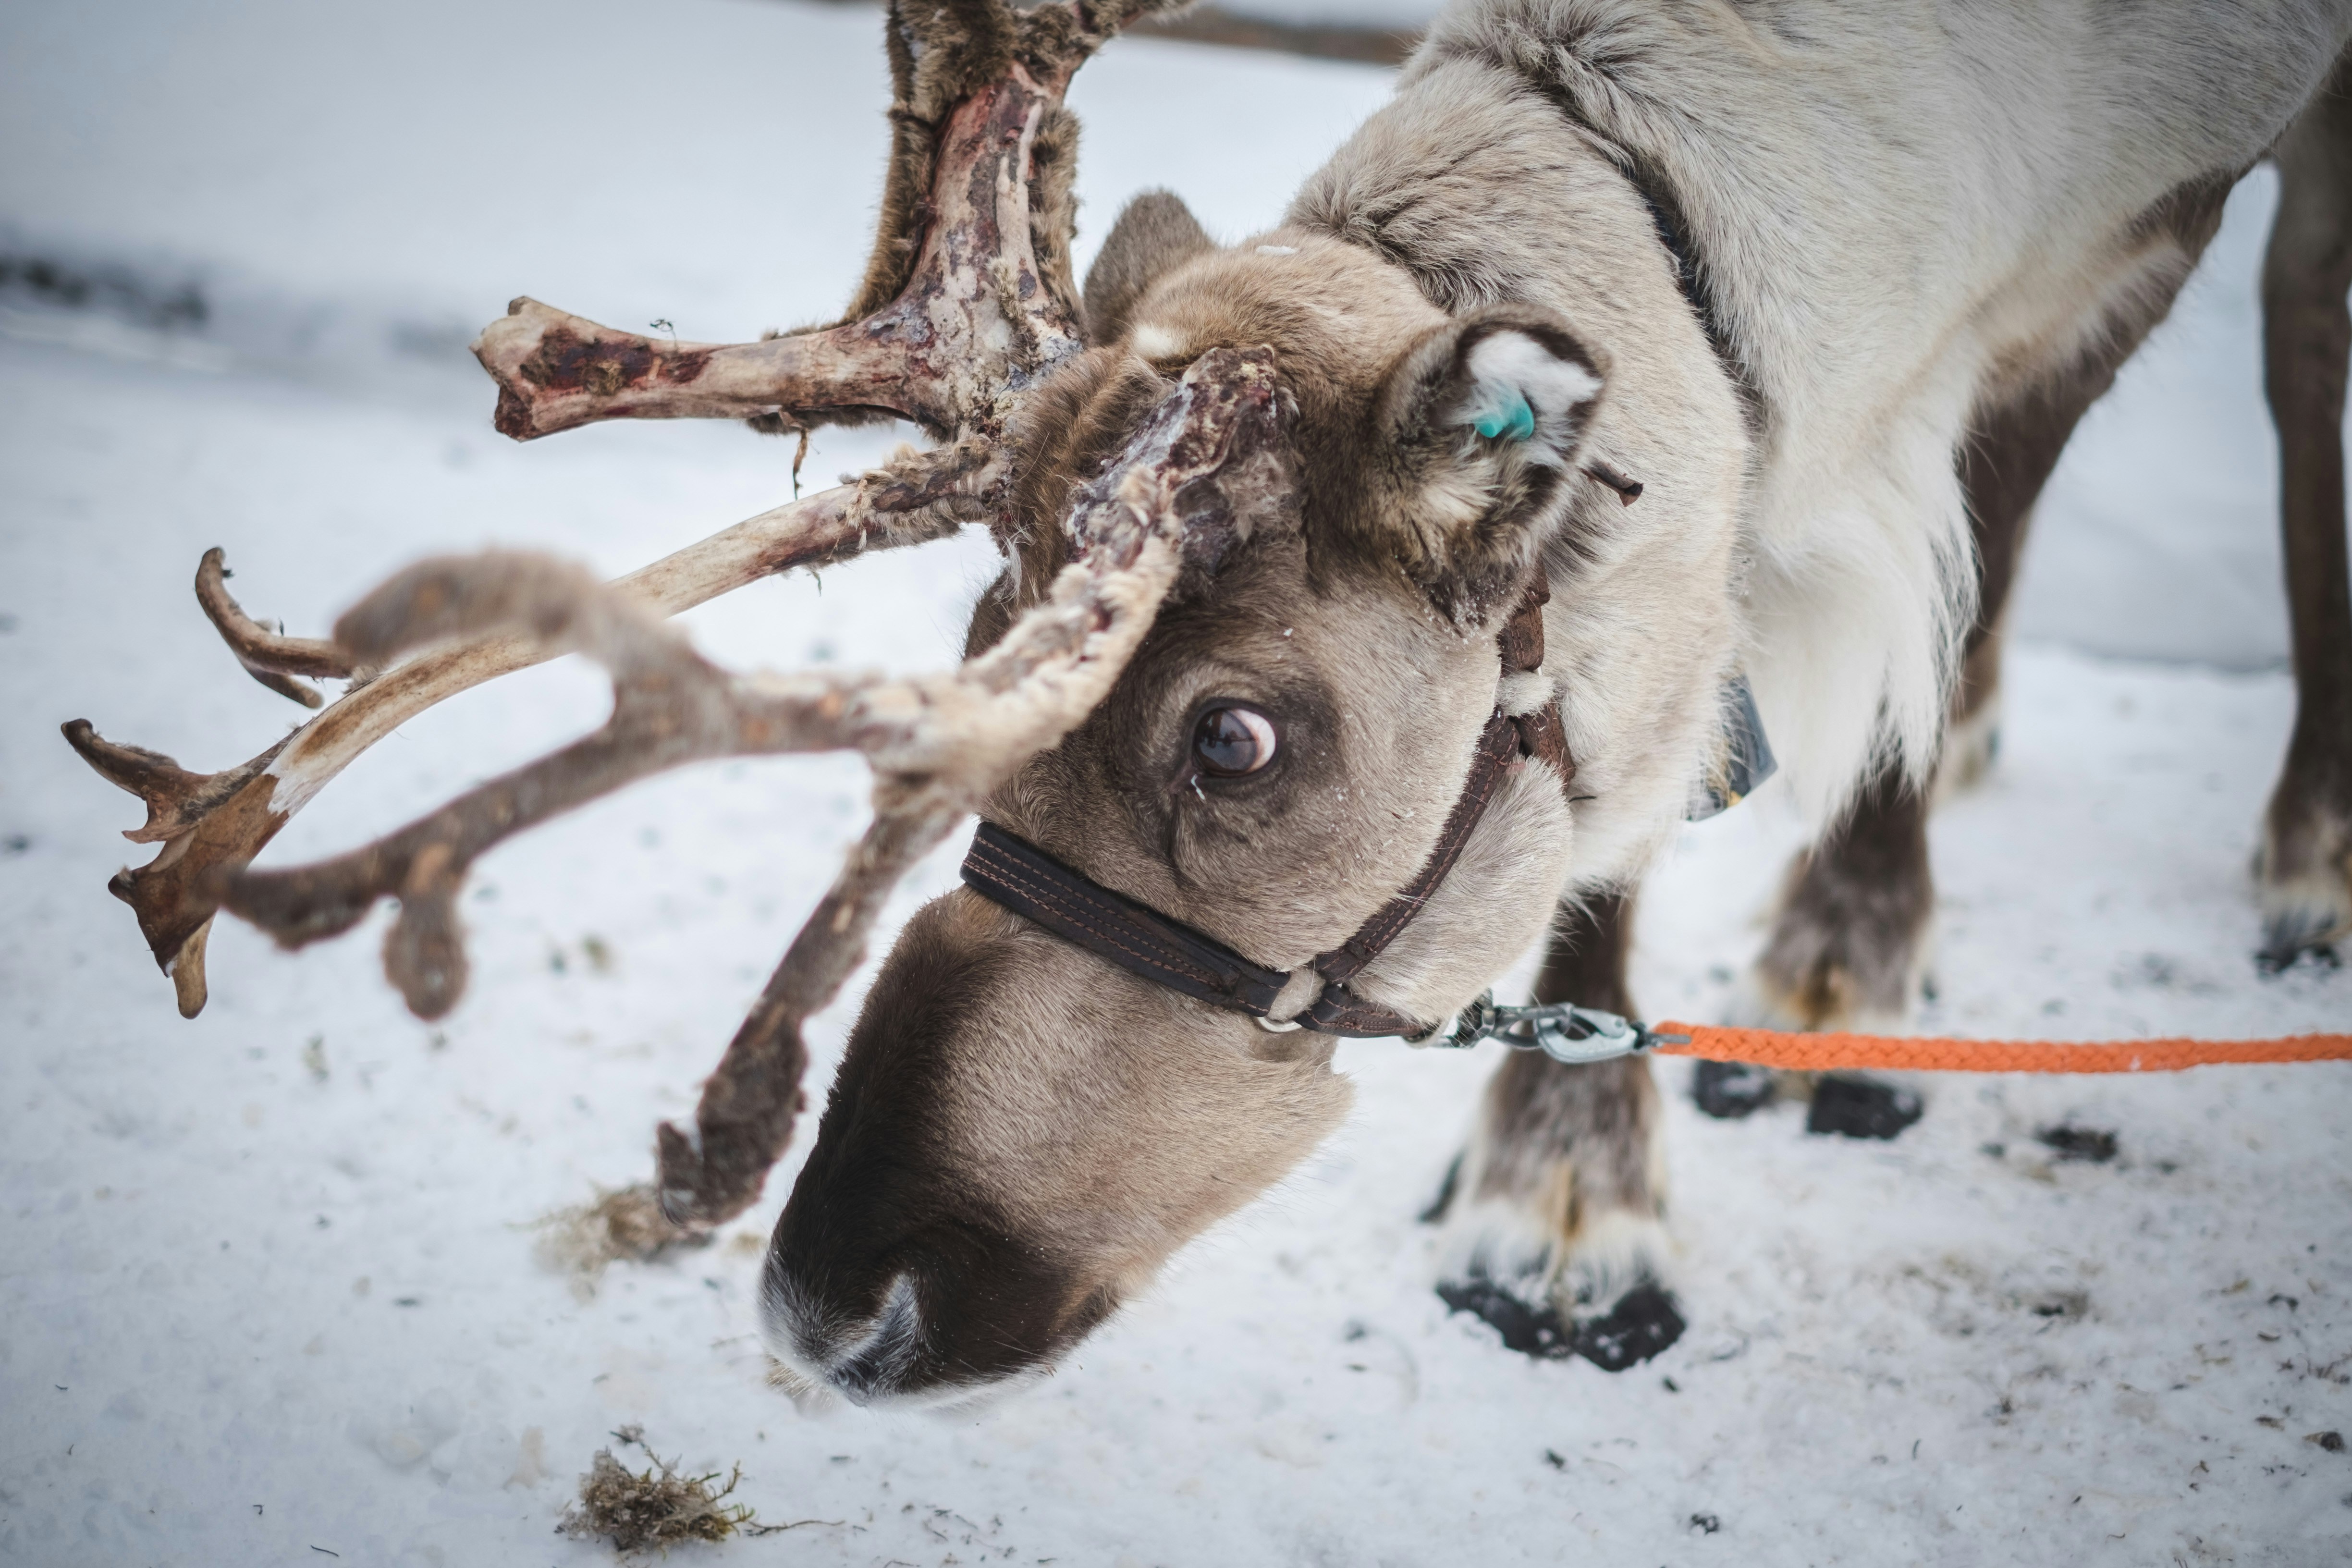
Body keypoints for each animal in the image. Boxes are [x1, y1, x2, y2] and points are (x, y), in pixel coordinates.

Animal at [62, 0, 2352, 1404]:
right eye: (980, 620)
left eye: (1238, 737)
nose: (823, 1303)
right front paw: (1571, 1172)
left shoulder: (2166, 182)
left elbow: (2032, 451)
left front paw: (1812, 992)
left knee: (2286, 341)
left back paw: (2290, 847)